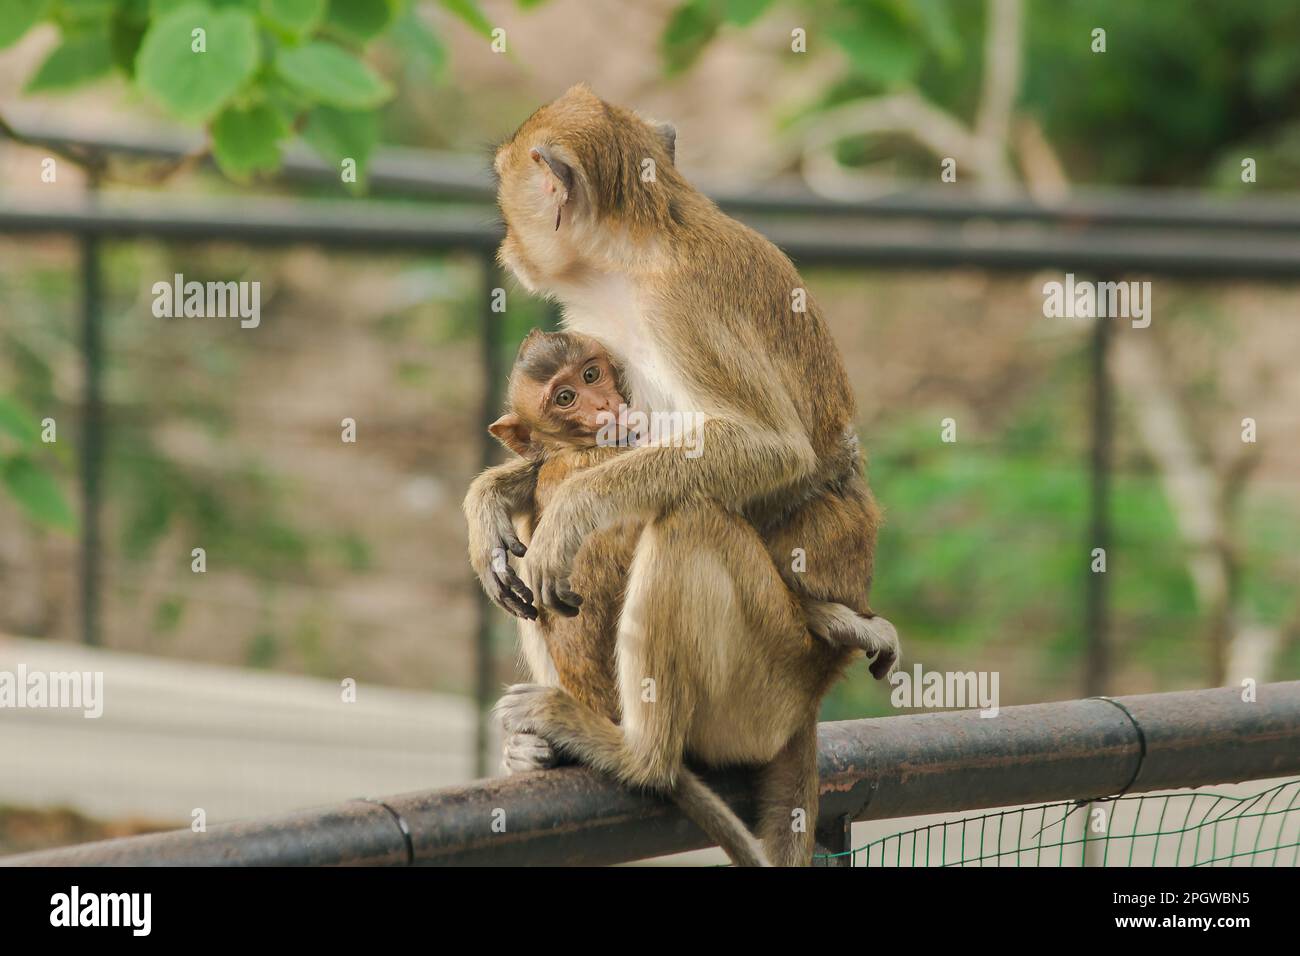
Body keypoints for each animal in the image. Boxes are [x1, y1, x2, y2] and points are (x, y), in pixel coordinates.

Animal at [464, 85, 897, 866]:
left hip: (767, 684)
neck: (637, 248)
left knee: (689, 521)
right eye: (573, 388)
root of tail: (810, 700)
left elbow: (774, 450)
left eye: (511, 191)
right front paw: (489, 504)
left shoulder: (680, 309)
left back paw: (640, 756)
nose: (509, 244)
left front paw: (572, 510)